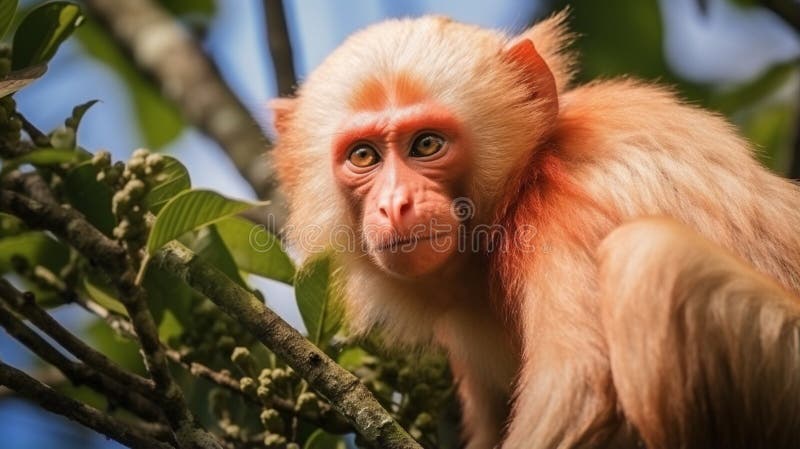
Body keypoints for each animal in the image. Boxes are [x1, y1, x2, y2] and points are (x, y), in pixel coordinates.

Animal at [270, 10, 800, 449]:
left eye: (426, 145)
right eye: (364, 156)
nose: (395, 205)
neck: (519, 186)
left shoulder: (558, 214)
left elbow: (584, 398)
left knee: (649, 257)